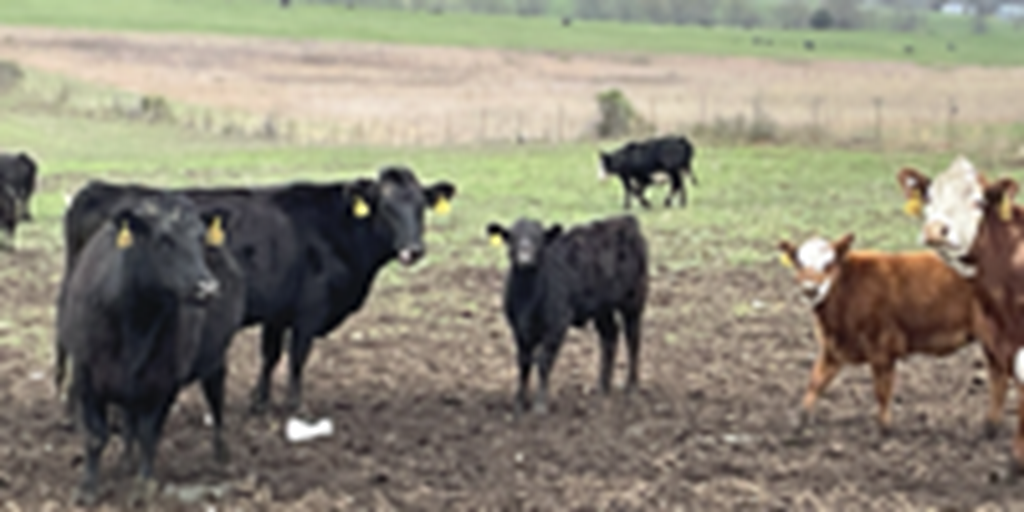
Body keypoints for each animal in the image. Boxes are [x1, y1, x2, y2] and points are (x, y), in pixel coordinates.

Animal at [57, 192, 232, 505]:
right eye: (163, 239)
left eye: (201, 238)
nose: (208, 288)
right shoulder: (85, 375)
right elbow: (96, 436)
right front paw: (88, 489)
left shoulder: (165, 382)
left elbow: (149, 436)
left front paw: (143, 487)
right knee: (128, 421)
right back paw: (126, 461)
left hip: (215, 360)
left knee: (216, 398)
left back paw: (220, 452)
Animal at [62, 166, 457, 415]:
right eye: (386, 207)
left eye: (421, 207)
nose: (413, 250)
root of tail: (101, 188)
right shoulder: (309, 311)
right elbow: (297, 357)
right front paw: (295, 405)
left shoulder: (278, 312)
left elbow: (270, 356)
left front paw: (259, 402)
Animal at [485, 215, 648, 414]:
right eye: (512, 237)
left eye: (539, 238)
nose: (525, 257)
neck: (528, 299)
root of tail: (625, 220)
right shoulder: (519, 328)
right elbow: (523, 361)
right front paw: (519, 401)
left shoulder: (557, 324)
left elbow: (543, 361)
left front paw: (540, 404)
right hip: (602, 309)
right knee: (610, 336)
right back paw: (602, 386)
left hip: (633, 300)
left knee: (633, 338)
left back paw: (631, 385)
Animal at [778, 233, 999, 435]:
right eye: (799, 263)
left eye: (829, 264)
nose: (810, 289)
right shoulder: (833, 349)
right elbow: (815, 382)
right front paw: (800, 419)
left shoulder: (882, 350)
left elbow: (882, 391)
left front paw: (884, 427)